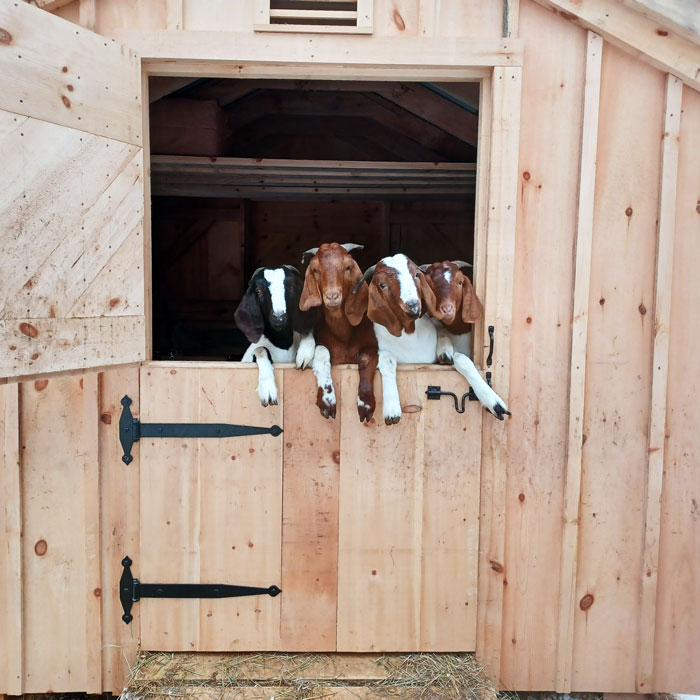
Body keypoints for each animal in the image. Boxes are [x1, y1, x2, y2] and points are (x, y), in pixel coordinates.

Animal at [235, 265, 317, 407]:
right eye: (258, 291)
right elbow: (261, 349)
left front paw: (305, 352)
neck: (283, 343)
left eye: (292, 287)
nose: (279, 317)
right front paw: (268, 390)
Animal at [299, 242, 378, 423]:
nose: (332, 297)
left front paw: (366, 404)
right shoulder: (322, 342)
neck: (343, 336)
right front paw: (327, 400)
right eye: (315, 269)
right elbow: (322, 354)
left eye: (347, 267)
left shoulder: (372, 344)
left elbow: (366, 359)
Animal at [357, 254, 509, 424]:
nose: (413, 306)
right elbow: (385, 360)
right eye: (382, 285)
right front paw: (391, 409)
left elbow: (460, 357)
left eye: (416, 275)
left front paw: (494, 402)